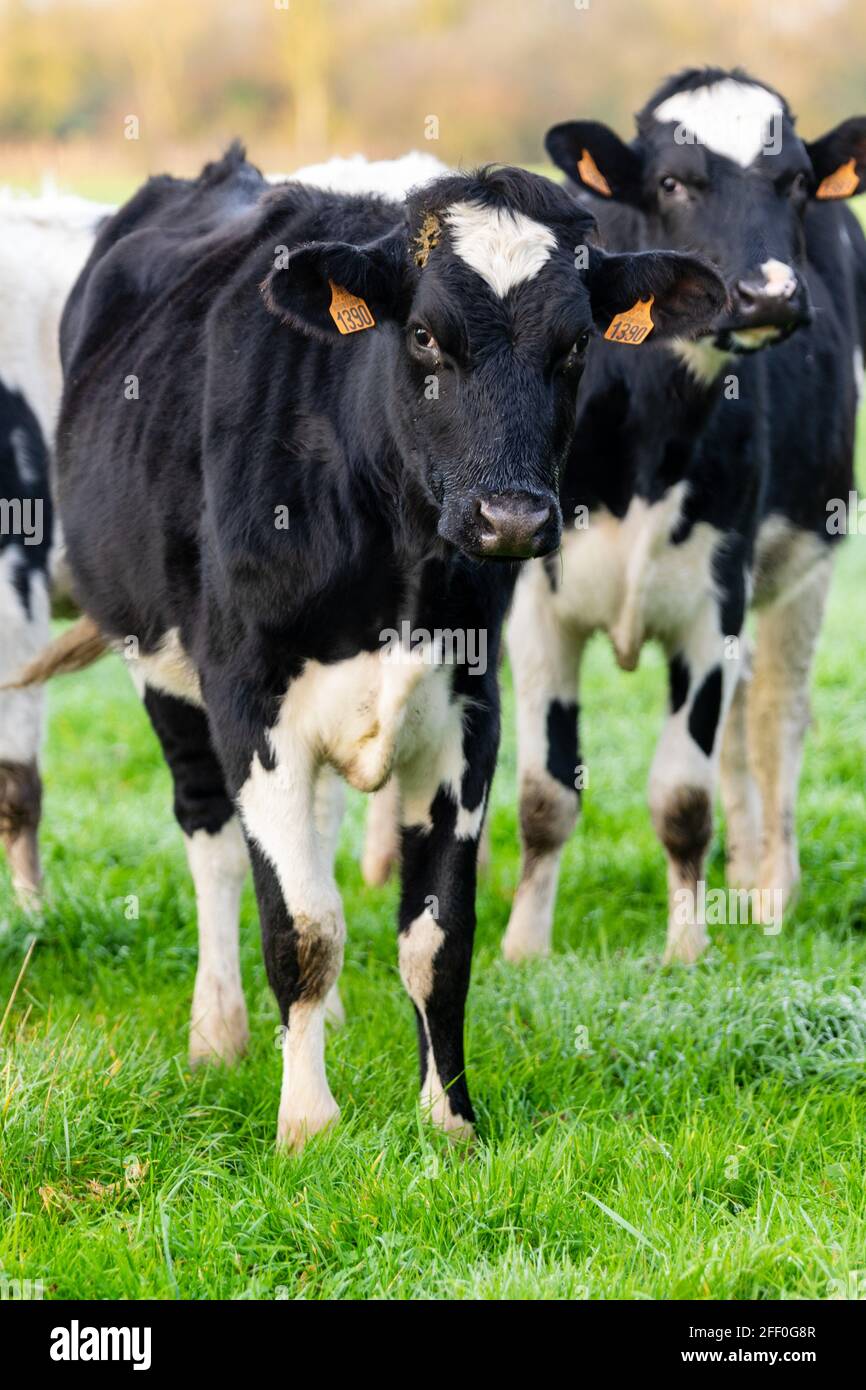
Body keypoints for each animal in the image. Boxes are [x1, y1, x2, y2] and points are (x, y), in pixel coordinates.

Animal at [22, 143, 723, 1146]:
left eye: (576, 344)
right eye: (425, 336)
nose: (512, 517)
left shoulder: (470, 710)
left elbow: (437, 938)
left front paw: (449, 1120)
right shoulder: (251, 702)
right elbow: (302, 931)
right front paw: (307, 1124)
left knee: (312, 837)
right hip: (159, 667)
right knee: (215, 844)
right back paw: (222, 1030)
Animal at [500, 68, 866, 967]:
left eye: (796, 180)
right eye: (671, 183)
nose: (770, 294)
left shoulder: (713, 599)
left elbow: (681, 798)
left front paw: (688, 950)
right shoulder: (536, 605)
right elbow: (543, 796)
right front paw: (523, 949)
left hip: (805, 565)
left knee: (773, 719)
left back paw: (769, 890)